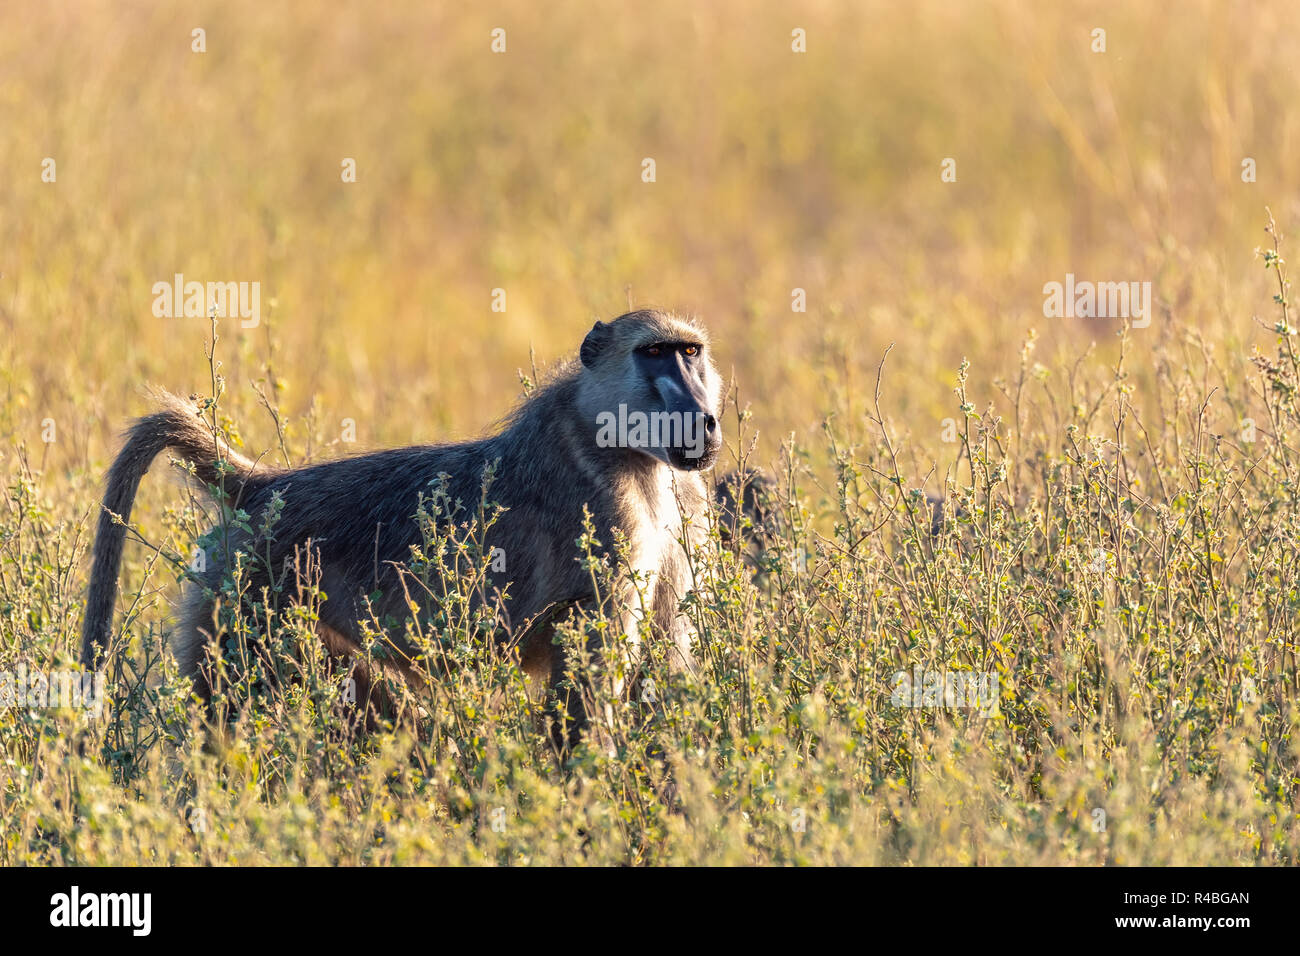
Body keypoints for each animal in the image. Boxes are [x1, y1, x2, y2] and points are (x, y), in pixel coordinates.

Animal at [80, 309, 724, 752]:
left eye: (691, 352)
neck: (621, 447)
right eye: (655, 353)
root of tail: (260, 489)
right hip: (248, 606)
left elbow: (663, 667)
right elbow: (587, 693)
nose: (703, 420)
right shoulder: (610, 518)